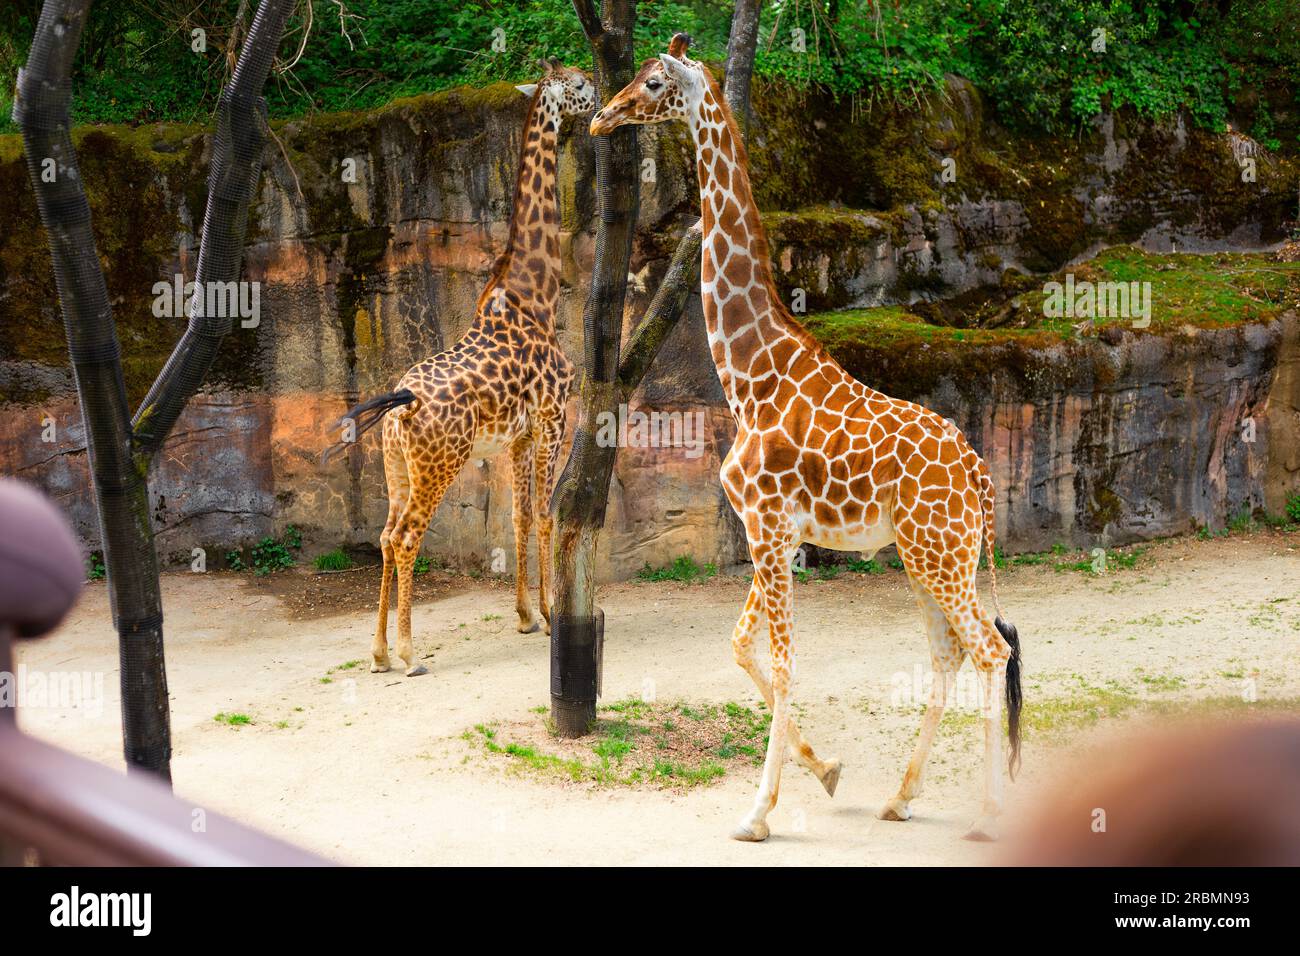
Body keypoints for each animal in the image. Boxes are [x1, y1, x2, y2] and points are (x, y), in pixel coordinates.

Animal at [324, 61, 596, 676]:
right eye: (576, 82)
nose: (597, 92)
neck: (535, 293)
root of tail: (401, 403)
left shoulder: (518, 436)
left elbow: (519, 518)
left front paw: (526, 615)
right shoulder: (552, 418)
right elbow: (545, 515)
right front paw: (551, 616)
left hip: (397, 468)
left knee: (384, 536)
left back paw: (378, 651)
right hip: (439, 465)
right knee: (406, 538)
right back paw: (408, 653)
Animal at [591, 35, 1023, 842]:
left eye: (655, 83)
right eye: (634, 76)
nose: (605, 115)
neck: (749, 373)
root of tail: (981, 473)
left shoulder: (766, 524)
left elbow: (784, 661)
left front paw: (758, 812)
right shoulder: (775, 532)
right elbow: (739, 644)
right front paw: (828, 771)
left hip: (940, 556)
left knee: (990, 649)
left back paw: (987, 813)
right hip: (928, 557)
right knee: (952, 654)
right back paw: (899, 797)